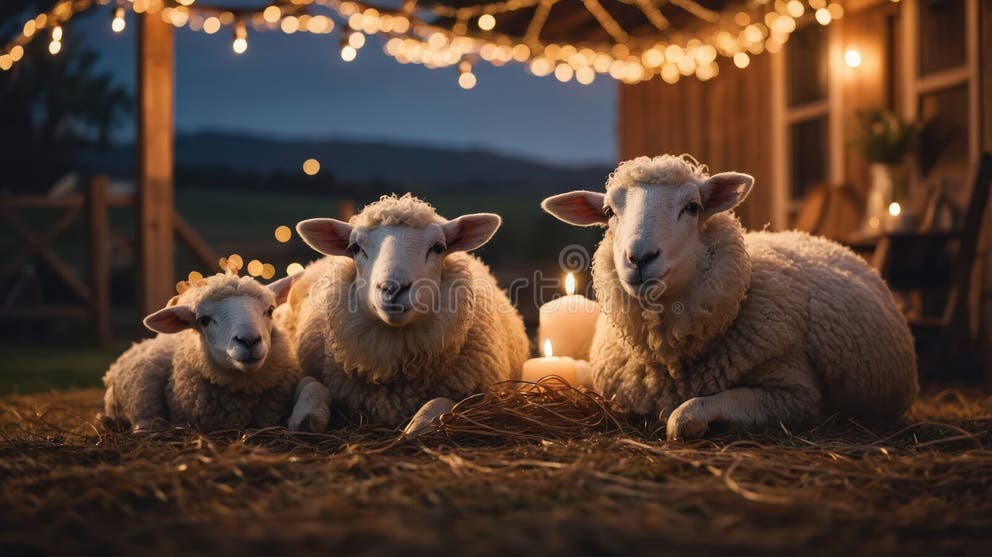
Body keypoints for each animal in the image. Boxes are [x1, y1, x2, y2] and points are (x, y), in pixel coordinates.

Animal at [286, 193, 530, 428]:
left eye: (438, 247)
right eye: (355, 247)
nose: (392, 288)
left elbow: (441, 403)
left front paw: (418, 424)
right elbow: (310, 384)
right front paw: (306, 417)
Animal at [541, 154, 918, 440]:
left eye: (693, 207)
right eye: (608, 212)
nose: (640, 258)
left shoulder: (797, 396)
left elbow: (685, 415)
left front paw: (687, 423)